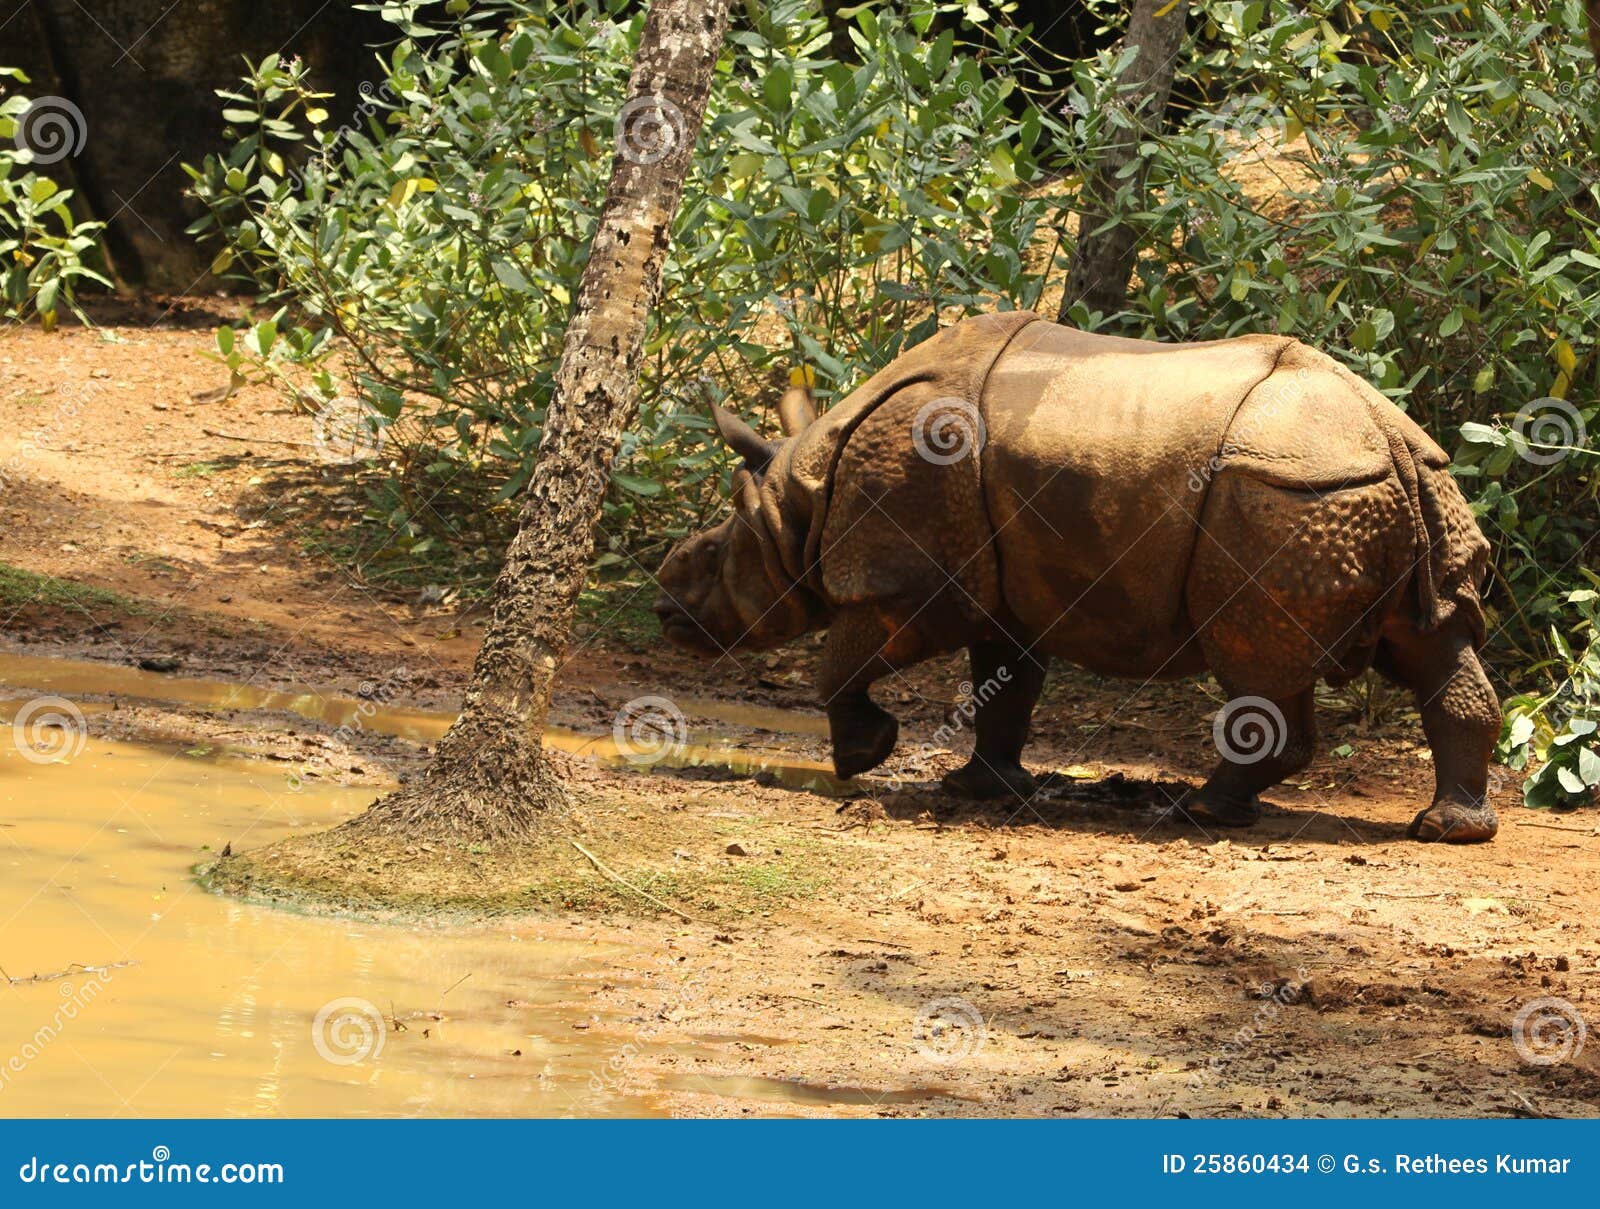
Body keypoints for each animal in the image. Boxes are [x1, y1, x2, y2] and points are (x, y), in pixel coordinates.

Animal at [654, 312, 1500, 842]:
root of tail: (1387, 434)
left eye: (709, 556)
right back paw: (1449, 829)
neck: (800, 497)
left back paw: (1202, 812)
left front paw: (862, 757)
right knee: (1434, 643)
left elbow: (843, 661)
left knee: (1257, 663)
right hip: (1401, 487)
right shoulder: (1001, 591)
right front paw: (981, 789)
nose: (663, 607)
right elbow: (1006, 686)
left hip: (1286, 496)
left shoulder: (907, 581)